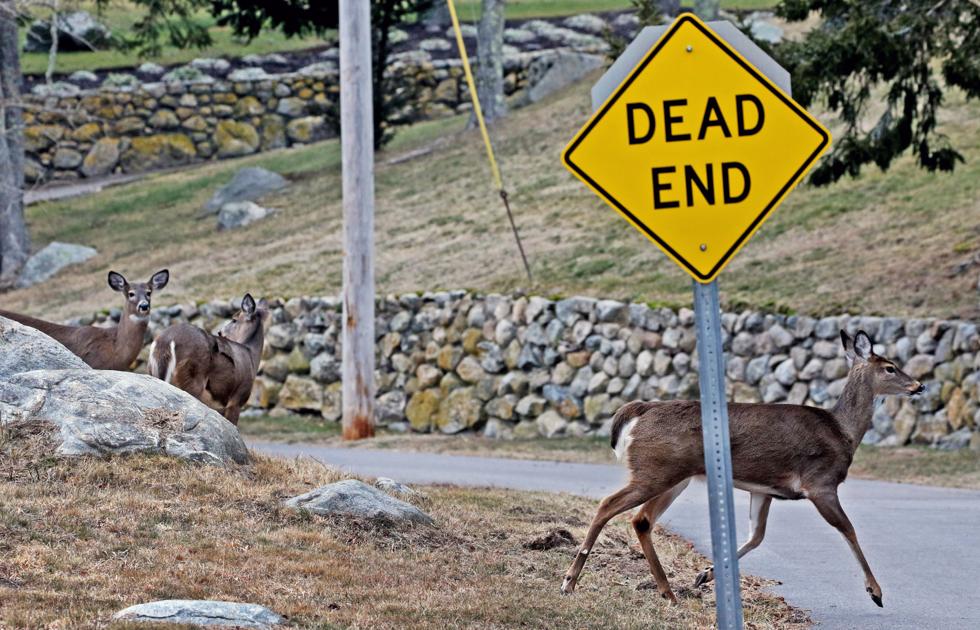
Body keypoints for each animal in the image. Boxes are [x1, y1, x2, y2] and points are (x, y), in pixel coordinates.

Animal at [148, 293, 268, 425]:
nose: (220, 332)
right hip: (192, 378)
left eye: (234, 320)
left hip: (153, 370)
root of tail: (166, 340)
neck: (251, 355)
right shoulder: (237, 400)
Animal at [560, 330, 924, 609]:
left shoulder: (765, 490)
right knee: (608, 505)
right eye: (890, 367)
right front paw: (875, 592)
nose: (919, 386)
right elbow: (848, 529)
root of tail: (639, 409)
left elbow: (756, 536)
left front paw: (705, 574)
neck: (842, 432)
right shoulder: (820, 482)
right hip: (655, 470)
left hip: (672, 476)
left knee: (642, 520)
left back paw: (669, 593)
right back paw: (569, 581)